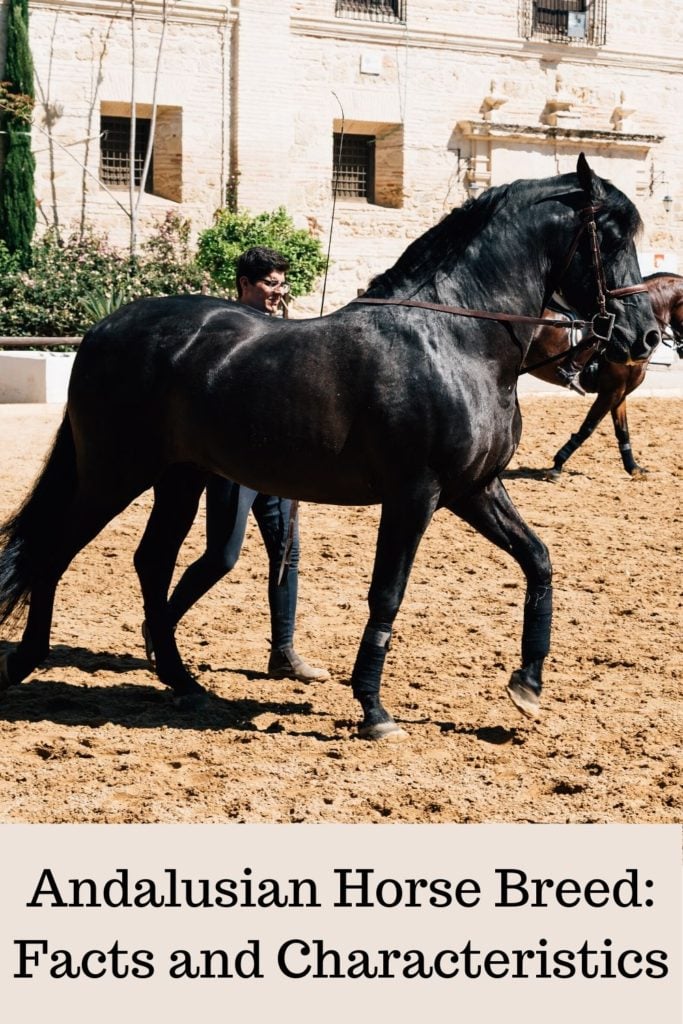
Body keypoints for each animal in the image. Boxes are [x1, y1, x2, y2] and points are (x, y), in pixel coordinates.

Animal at [0, 155, 659, 739]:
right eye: (609, 236)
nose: (646, 335)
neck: (454, 337)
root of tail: (103, 329)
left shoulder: (473, 489)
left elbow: (538, 560)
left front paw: (527, 686)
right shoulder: (414, 496)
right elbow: (387, 594)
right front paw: (374, 711)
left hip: (179, 479)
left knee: (151, 563)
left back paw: (184, 683)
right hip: (113, 474)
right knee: (55, 550)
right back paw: (26, 662)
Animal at [523, 272, 683, 479]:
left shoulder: (620, 392)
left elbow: (622, 430)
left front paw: (633, 468)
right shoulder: (610, 392)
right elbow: (588, 428)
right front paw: (557, 465)